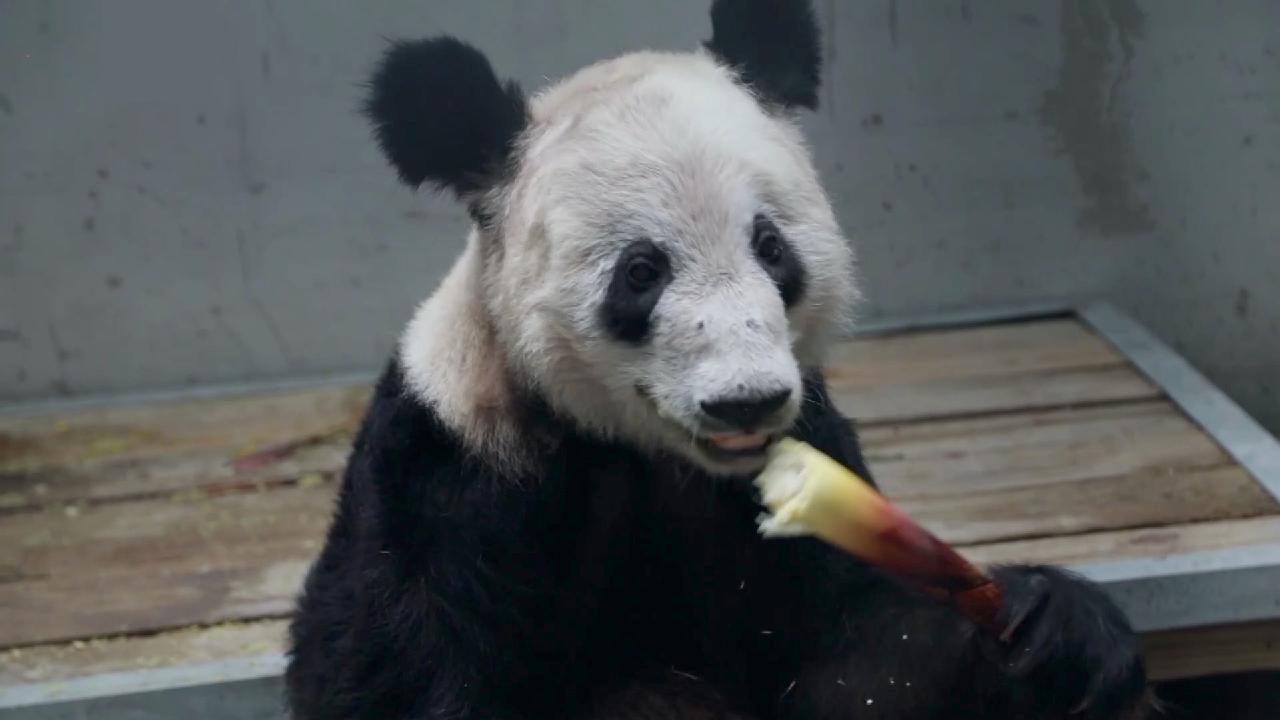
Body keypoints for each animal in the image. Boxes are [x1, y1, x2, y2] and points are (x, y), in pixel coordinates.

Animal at [285, 1, 1148, 718]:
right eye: (641, 271)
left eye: (771, 247)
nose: (747, 401)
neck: (640, 451)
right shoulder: (451, 472)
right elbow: (394, 665)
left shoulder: (803, 457)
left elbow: (859, 662)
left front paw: (1053, 636)